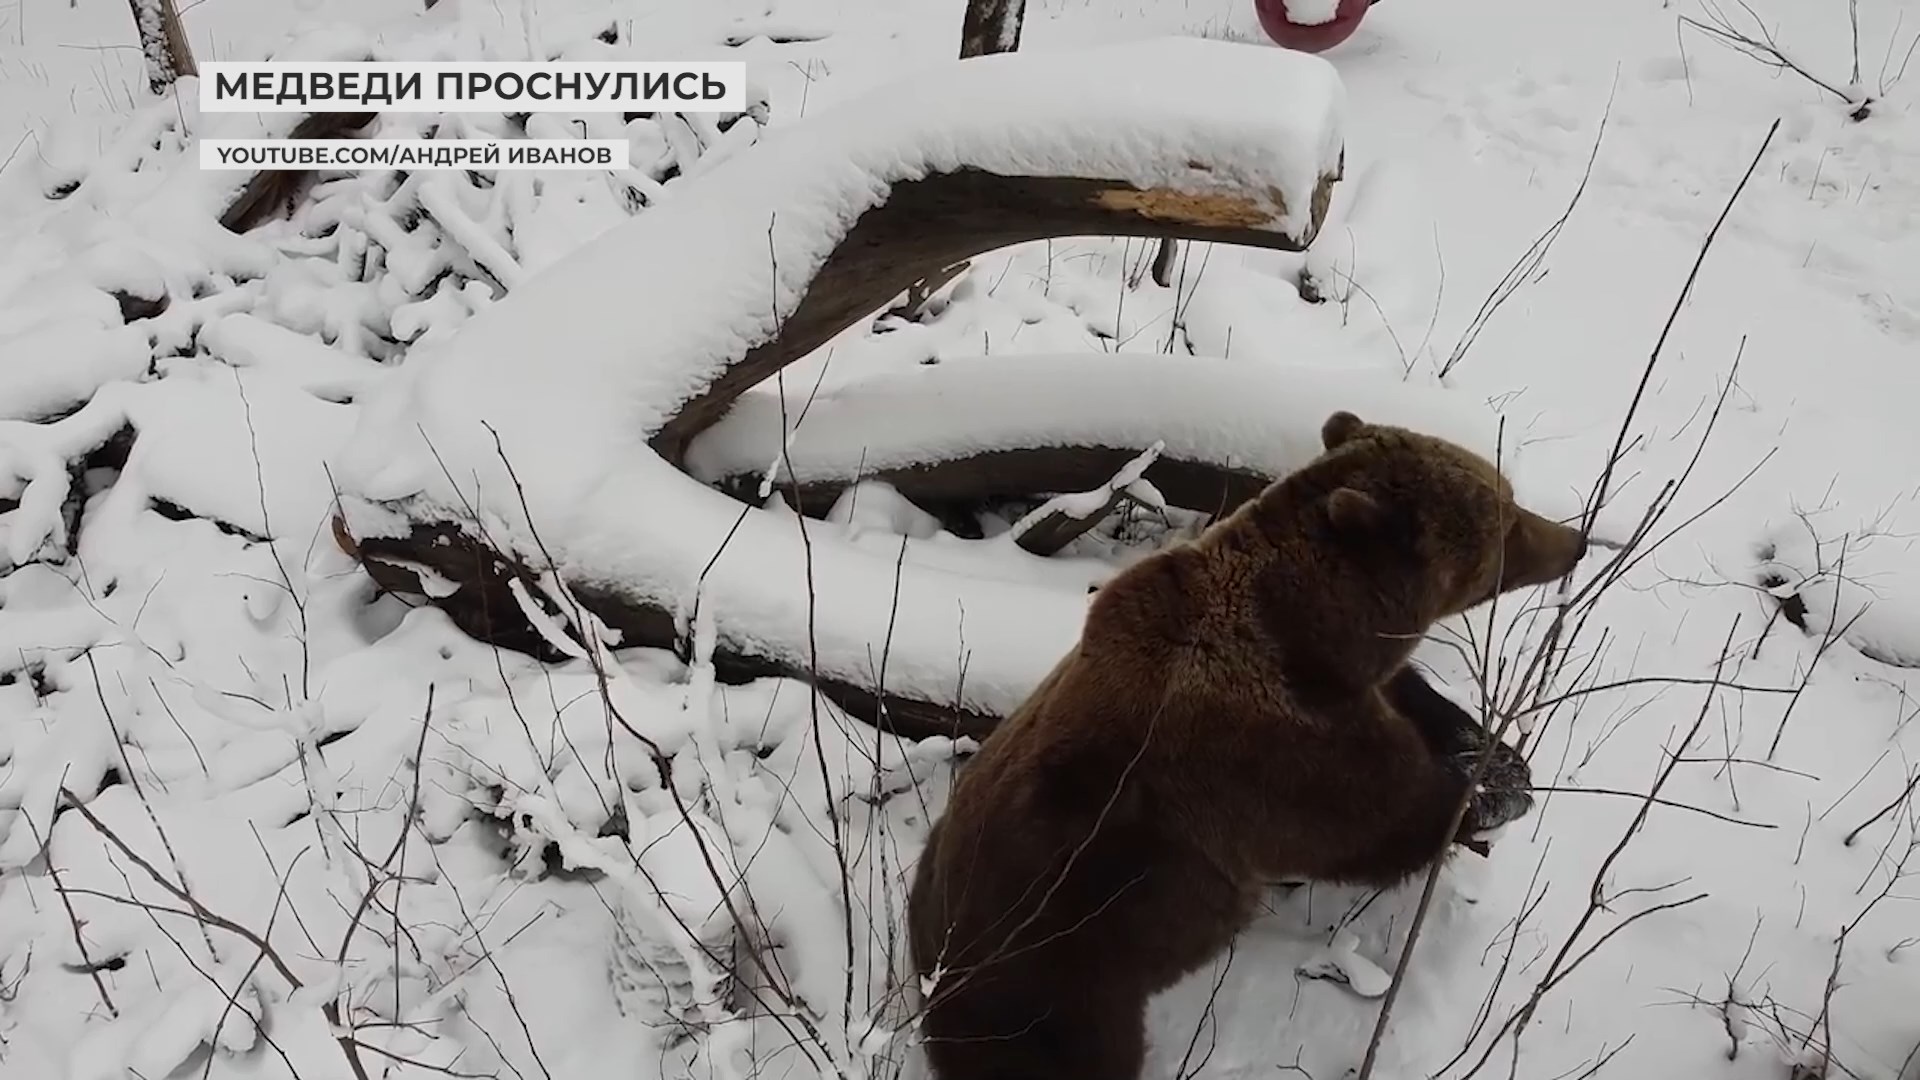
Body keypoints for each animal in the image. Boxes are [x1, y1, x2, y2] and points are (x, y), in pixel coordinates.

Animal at [904, 409, 1587, 1080]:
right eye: (1508, 518)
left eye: (1508, 496)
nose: (1574, 540)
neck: (1311, 637)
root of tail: (926, 962)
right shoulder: (1262, 758)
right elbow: (1388, 816)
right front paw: (1490, 797)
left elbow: (1418, 705)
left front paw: (1498, 756)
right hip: (1053, 982)